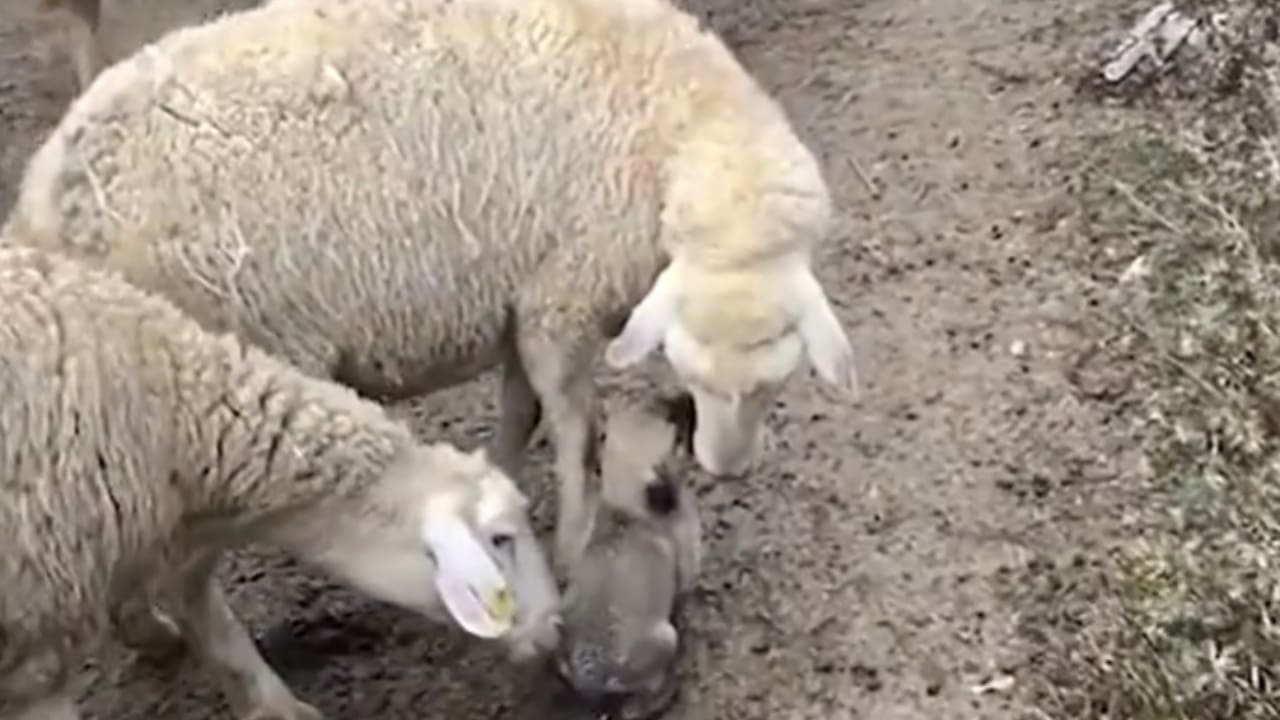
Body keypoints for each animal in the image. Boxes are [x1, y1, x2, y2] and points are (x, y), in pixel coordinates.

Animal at [555, 393, 701, 720]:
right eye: (676, 439)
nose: (686, 399)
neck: (625, 513)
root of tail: (593, 670)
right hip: (666, 640)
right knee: (641, 704)